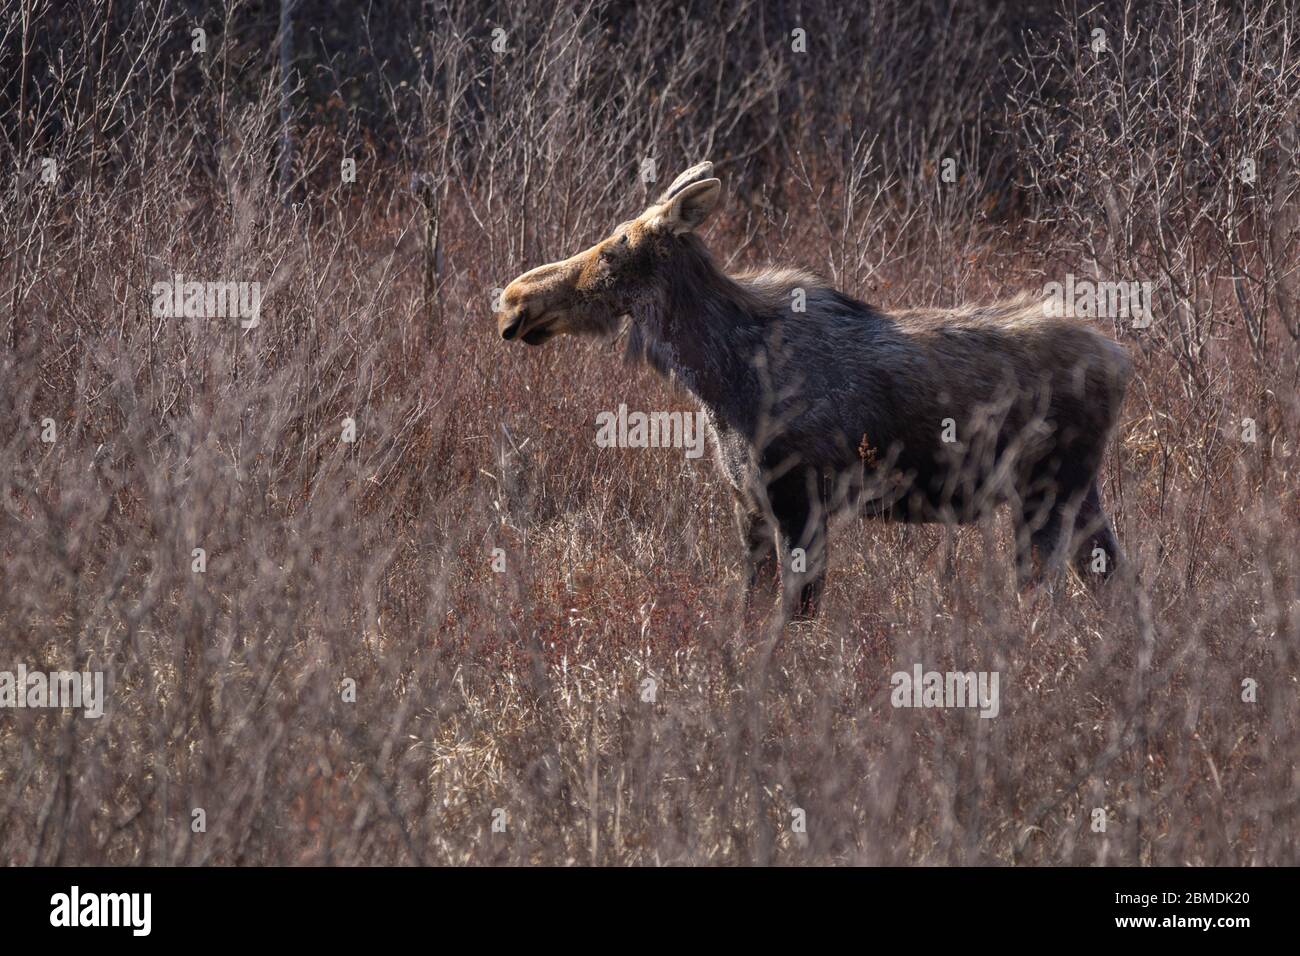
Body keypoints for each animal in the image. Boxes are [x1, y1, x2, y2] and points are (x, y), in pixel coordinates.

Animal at [496, 162, 1128, 621]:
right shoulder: (749, 505)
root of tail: (1121, 363)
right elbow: (749, 614)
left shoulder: (798, 498)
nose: (512, 299)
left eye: (610, 250)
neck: (715, 376)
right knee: (1119, 583)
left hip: (1045, 492)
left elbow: (792, 617)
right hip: (1080, 495)